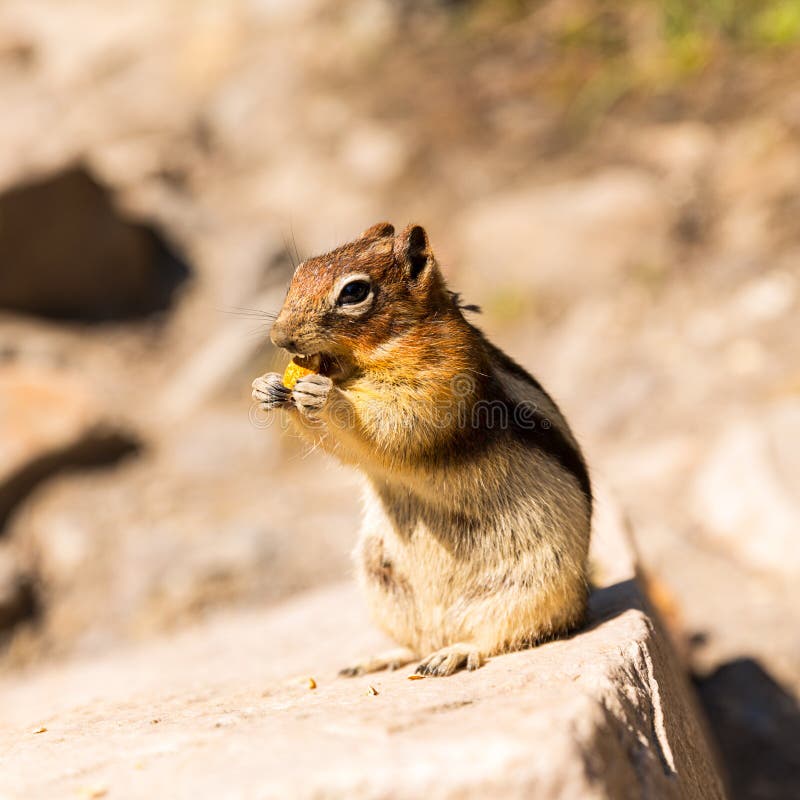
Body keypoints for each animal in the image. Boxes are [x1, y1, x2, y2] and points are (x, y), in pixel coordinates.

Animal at [252, 222, 592, 677]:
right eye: (298, 274)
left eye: (354, 292)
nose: (279, 337)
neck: (363, 362)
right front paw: (267, 387)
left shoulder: (443, 379)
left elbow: (399, 423)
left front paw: (328, 397)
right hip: (380, 578)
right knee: (419, 641)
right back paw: (382, 659)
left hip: (535, 583)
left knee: (503, 634)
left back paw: (455, 652)